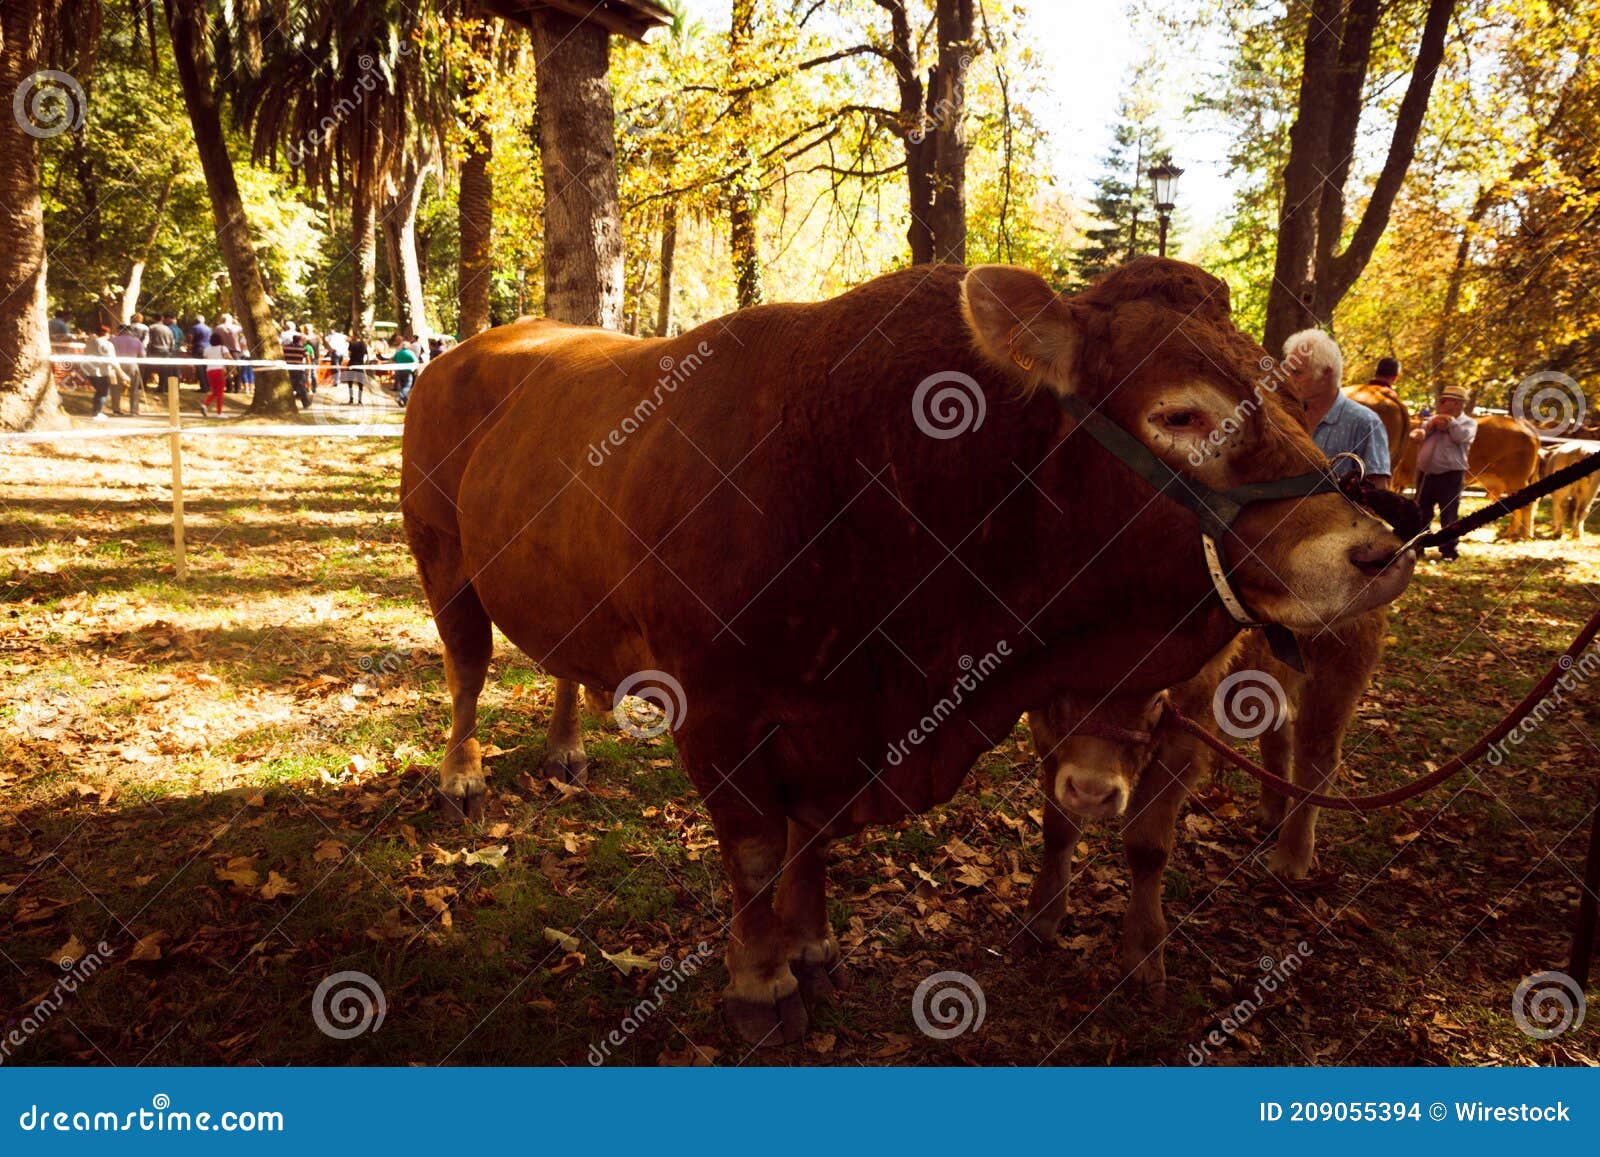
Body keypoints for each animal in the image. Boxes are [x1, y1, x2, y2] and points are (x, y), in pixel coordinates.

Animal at [1024, 611, 1386, 995]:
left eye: (1157, 701)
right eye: (1060, 690)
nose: (1092, 791)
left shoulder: (1185, 738)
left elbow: (1147, 846)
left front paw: (1143, 954)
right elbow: (1059, 829)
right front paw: (1041, 917)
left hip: (1340, 661)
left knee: (1317, 756)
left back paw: (1291, 857)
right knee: (1277, 723)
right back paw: (1272, 813)